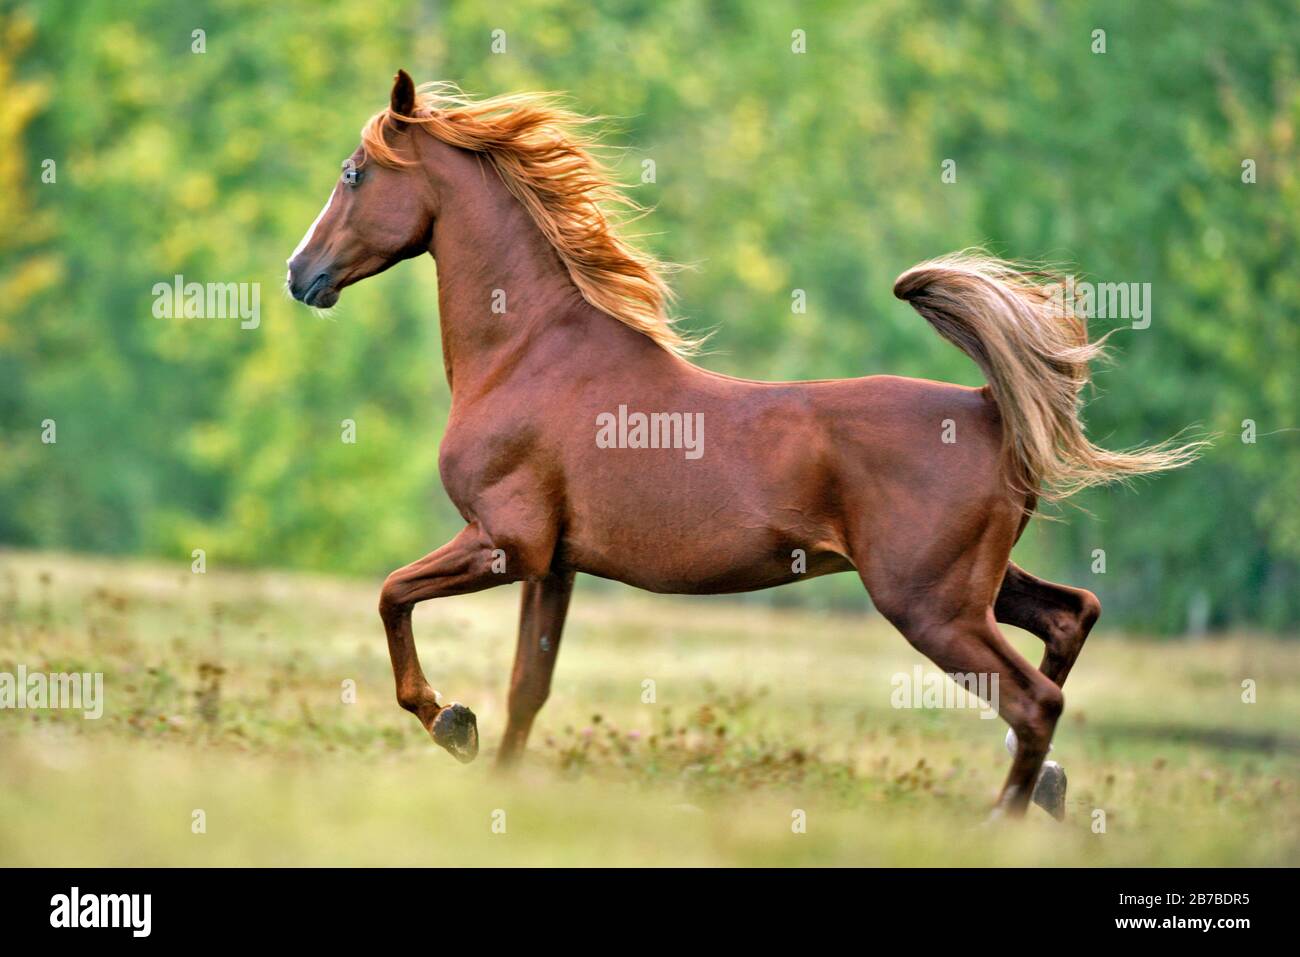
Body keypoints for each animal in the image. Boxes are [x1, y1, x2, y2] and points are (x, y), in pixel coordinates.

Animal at [287, 70, 1202, 818]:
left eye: (354, 172)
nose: (300, 275)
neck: (530, 356)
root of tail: (986, 406)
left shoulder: (504, 542)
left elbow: (392, 595)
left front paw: (450, 721)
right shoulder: (554, 564)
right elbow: (527, 689)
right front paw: (496, 777)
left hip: (928, 605)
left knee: (1033, 699)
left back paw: (1001, 818)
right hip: (974, 586)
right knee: (1070, 619)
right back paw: (1046, 787)